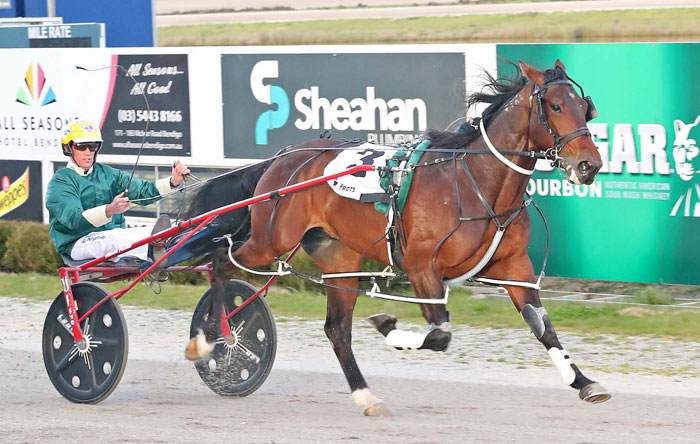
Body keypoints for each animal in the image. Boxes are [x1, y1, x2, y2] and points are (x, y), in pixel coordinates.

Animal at [181, 59, 609, 415]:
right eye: (555, 106)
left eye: (585, 106)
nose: (589, 165)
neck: (475, 183)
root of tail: (282, 158)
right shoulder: (421, 267)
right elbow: (439, 335)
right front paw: (389, 327)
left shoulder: (514, 266)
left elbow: (542, 325)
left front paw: (584, 382)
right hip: (272, 240)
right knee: (220, 261)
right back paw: (209, 339)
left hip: (340, 260)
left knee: (337, 330)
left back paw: (366, 396)